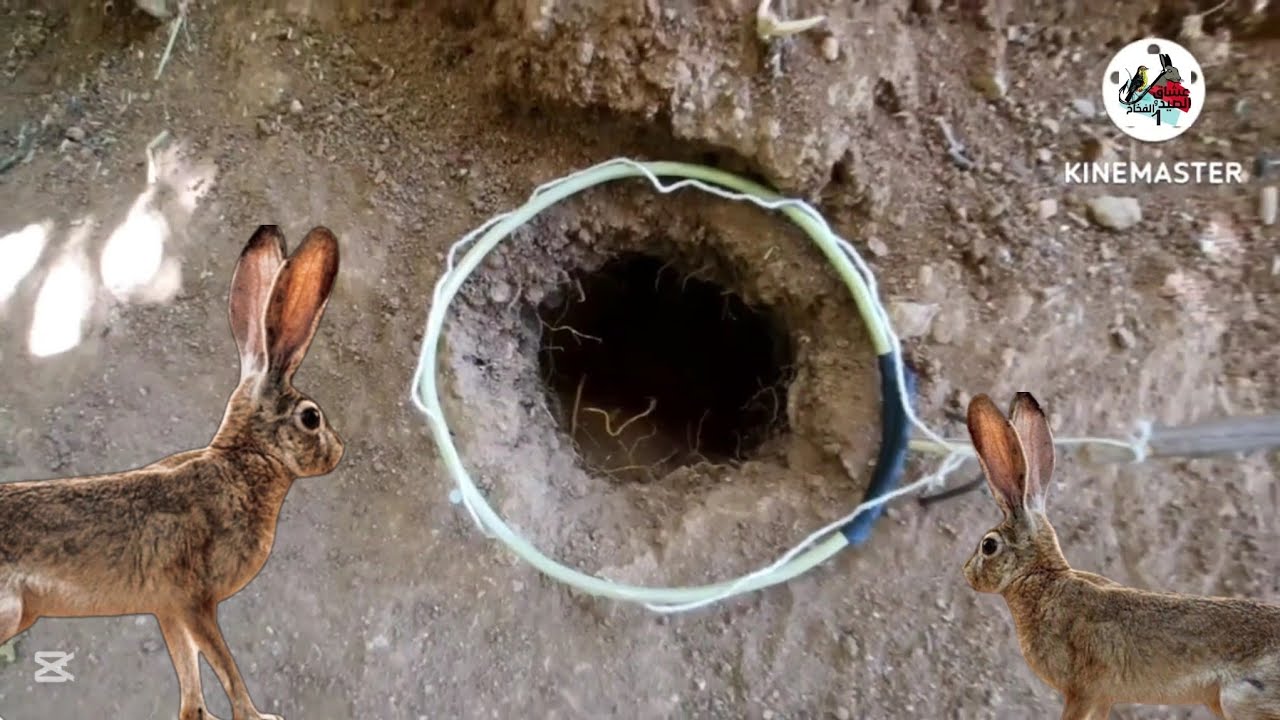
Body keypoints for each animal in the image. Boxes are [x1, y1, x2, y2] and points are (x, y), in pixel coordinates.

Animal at [0, 225, 343, 720]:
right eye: (311, 418)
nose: (339, 450)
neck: (245, 459)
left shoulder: (169, 609)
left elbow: (188, 673)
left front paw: (202, 715)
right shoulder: (193, 600)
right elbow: (222, 664)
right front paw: (258, 717)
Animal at [962, 392, 1280, 720]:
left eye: (988, 545)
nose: (967, 573)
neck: (1042, 577)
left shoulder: (1083, 690)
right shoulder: (1102, 697)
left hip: (1240, 699)